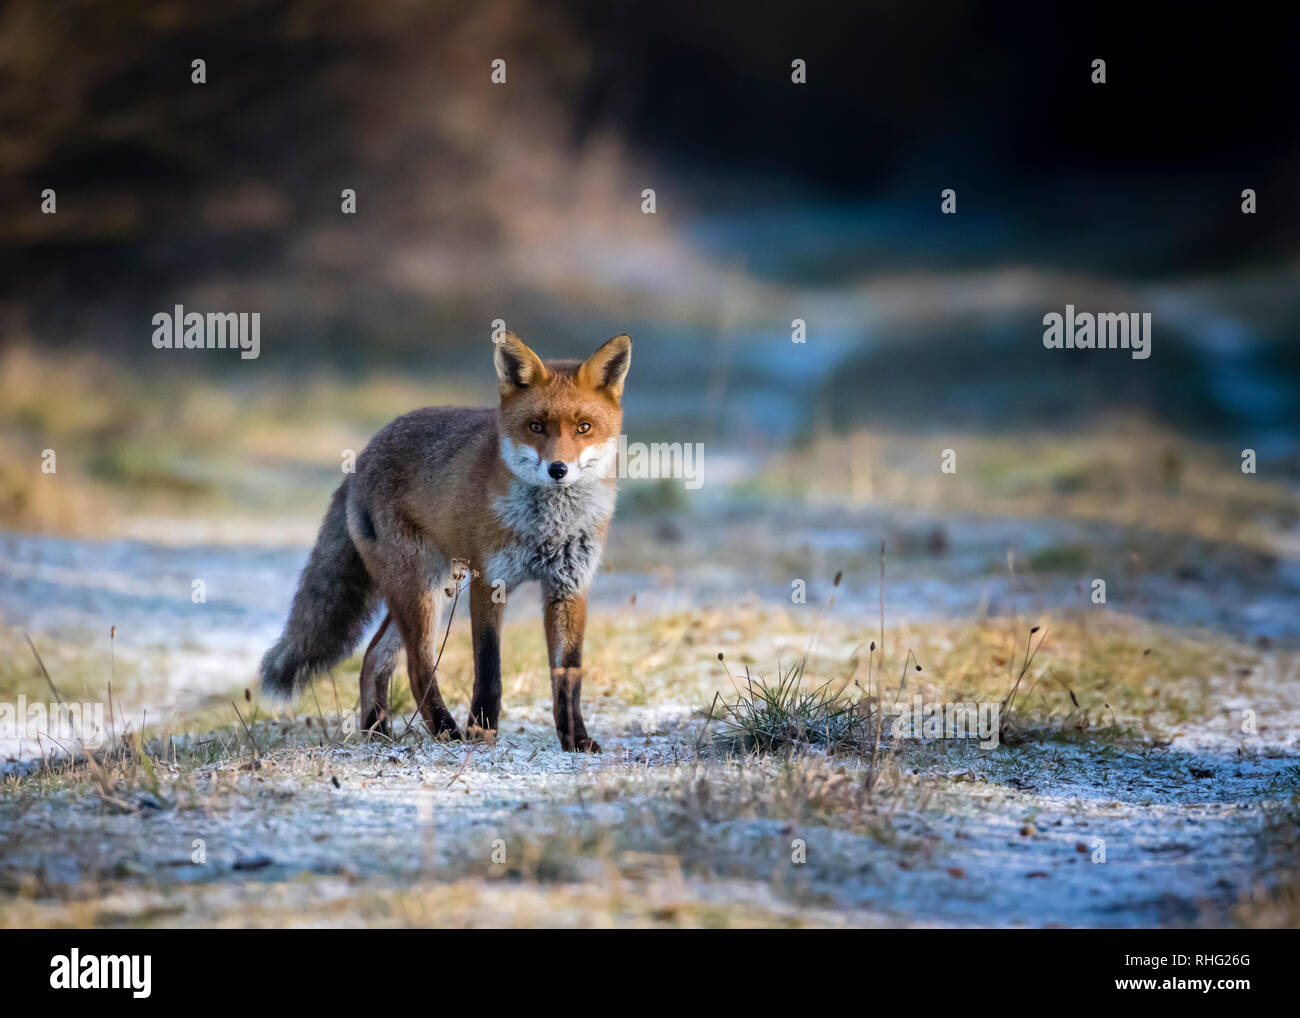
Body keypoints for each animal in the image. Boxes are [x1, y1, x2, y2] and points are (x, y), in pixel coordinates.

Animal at [259, 331, 631, 752]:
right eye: (536, 426)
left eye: (584, 427)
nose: (558, 469)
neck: (548, 527)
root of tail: (364, 454)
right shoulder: (490, 582)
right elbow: (489, 670)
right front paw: (481, 733)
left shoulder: (569, 587)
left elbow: (569, 675)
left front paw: (576, 740)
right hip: (420, 590)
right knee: (417, 666)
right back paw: (446, 730)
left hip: (429, 589)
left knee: (374, 656)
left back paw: (377, 731)